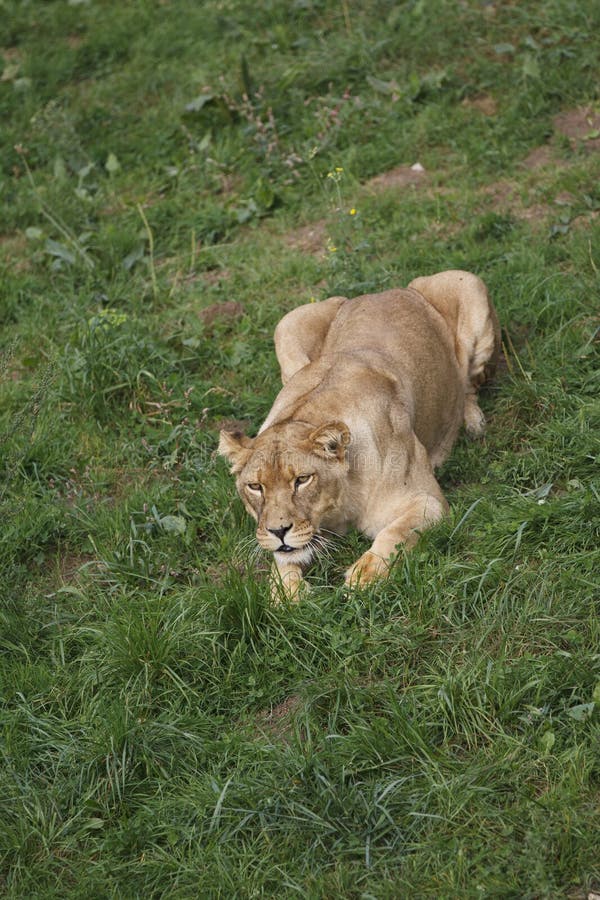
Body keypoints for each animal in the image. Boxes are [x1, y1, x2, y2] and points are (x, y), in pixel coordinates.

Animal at [219, 269, 500, 599]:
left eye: (302, 480)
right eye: (255, 486)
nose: (279, 531)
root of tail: (384, 291)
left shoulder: (428, 501)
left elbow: (396, 533)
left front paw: (364, 575)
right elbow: (282, 567)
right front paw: (288, 593)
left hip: (467, 283)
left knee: (468, 383)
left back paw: (473, 422)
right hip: (287, 323)